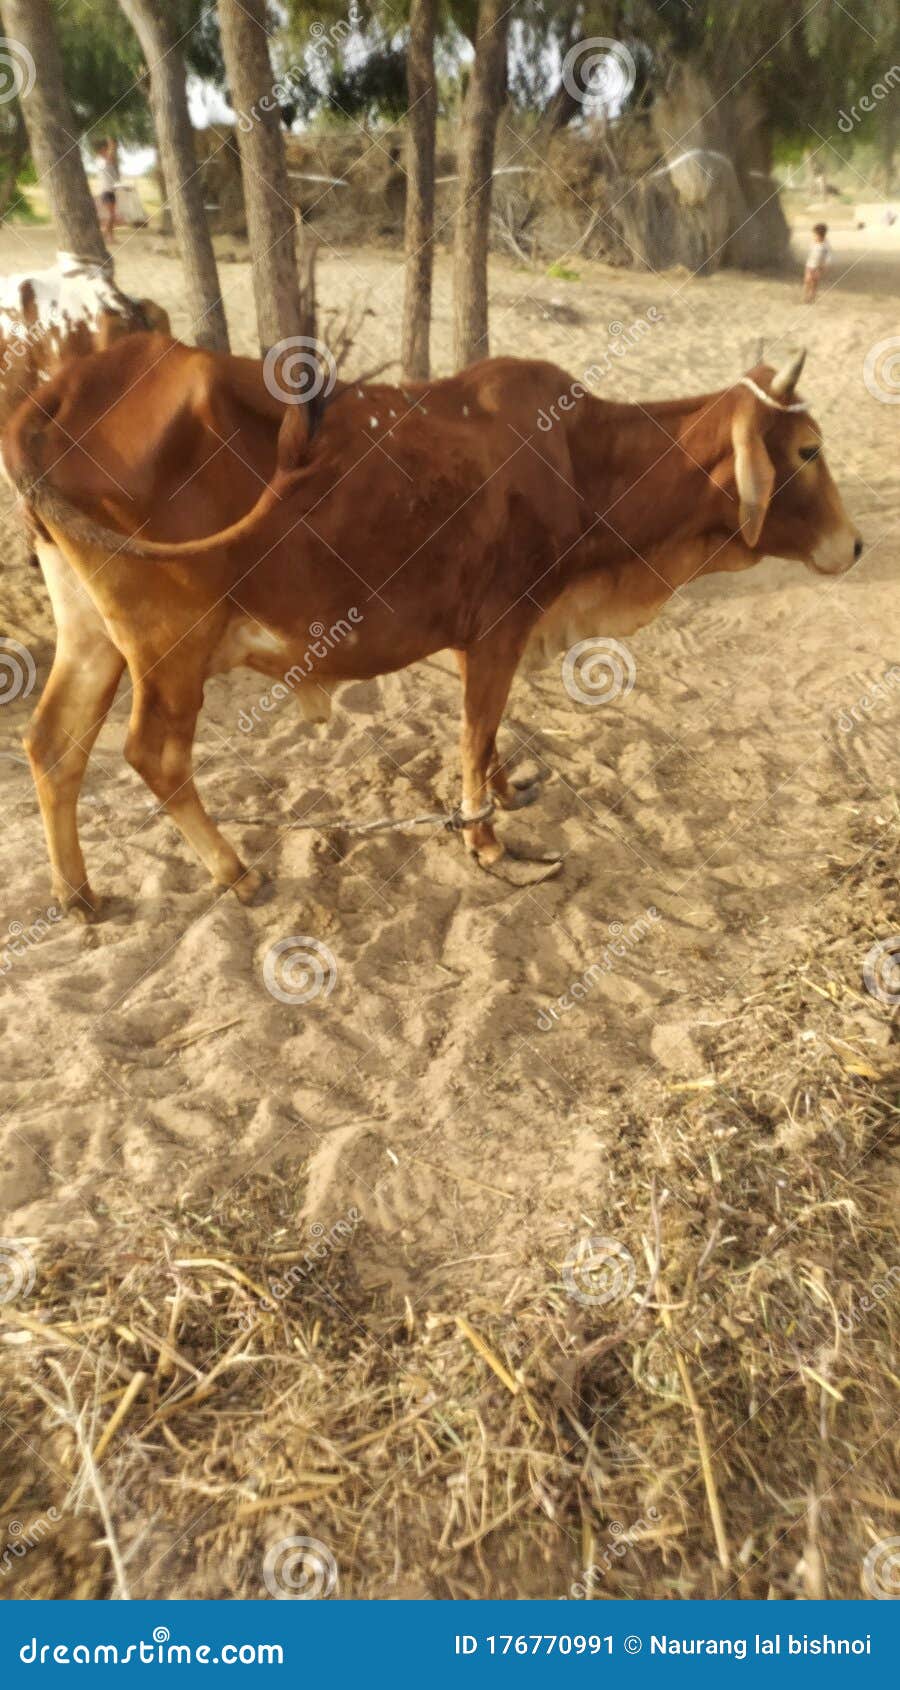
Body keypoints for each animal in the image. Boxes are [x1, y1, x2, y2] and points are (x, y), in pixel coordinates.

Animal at [2, 333, 862, 919]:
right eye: (807, 450)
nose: (854, 546)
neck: (580, 459)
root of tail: (55, 393)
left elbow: (490, 733)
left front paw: (506, 794)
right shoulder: (502, 624)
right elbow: (477, 733)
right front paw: (488, 842)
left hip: (93, 635)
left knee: (53, 745)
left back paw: (77, 894)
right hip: (169, 646)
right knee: (153, 754)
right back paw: (234, 870)